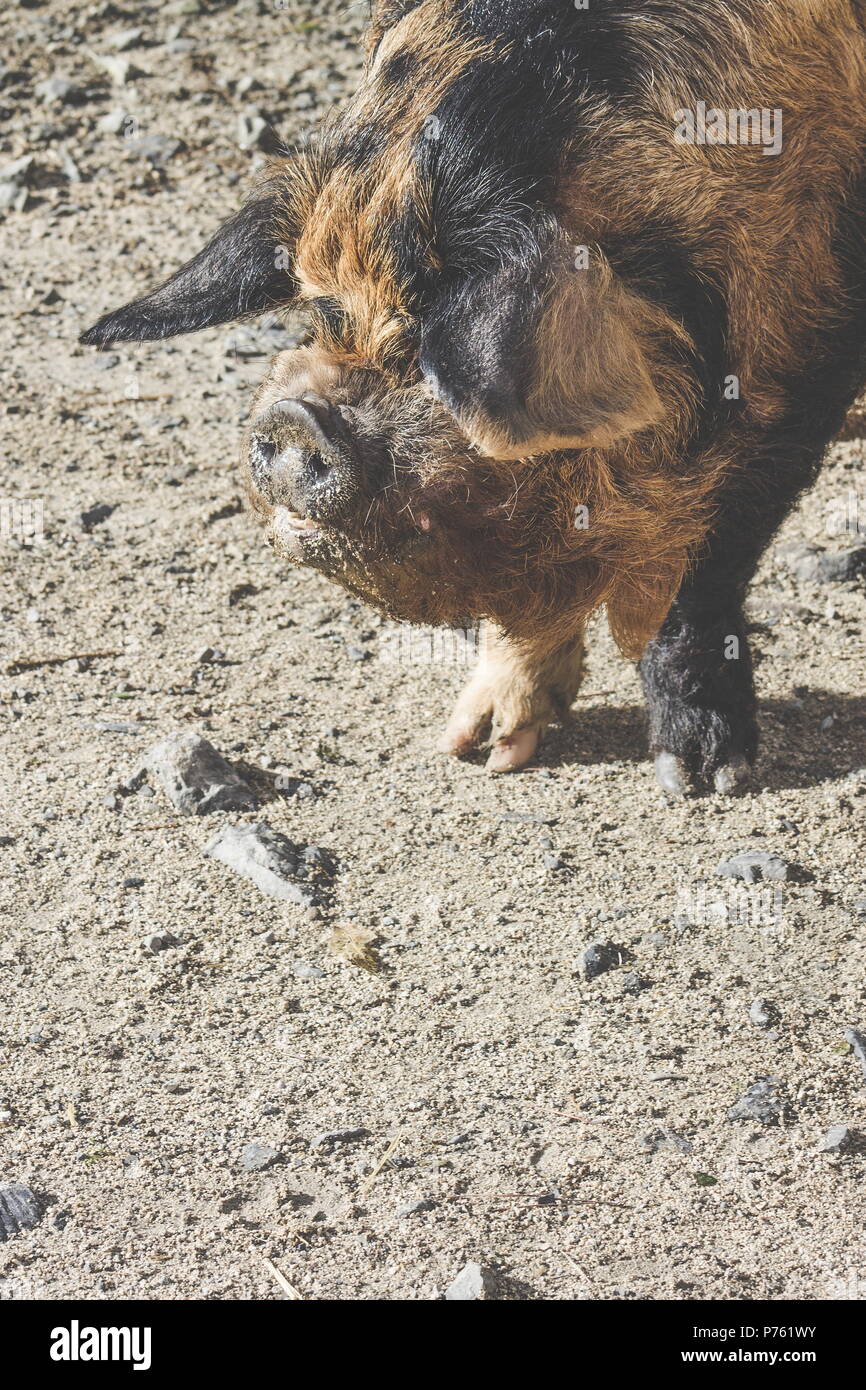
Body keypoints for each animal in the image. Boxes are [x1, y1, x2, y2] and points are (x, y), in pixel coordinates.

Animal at [81, 0, 866, 792]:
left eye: (431, 342)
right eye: (322, 309)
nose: (295, 417)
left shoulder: (807, 368)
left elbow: (703, 573)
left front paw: (703, 777)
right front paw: (482, 749)